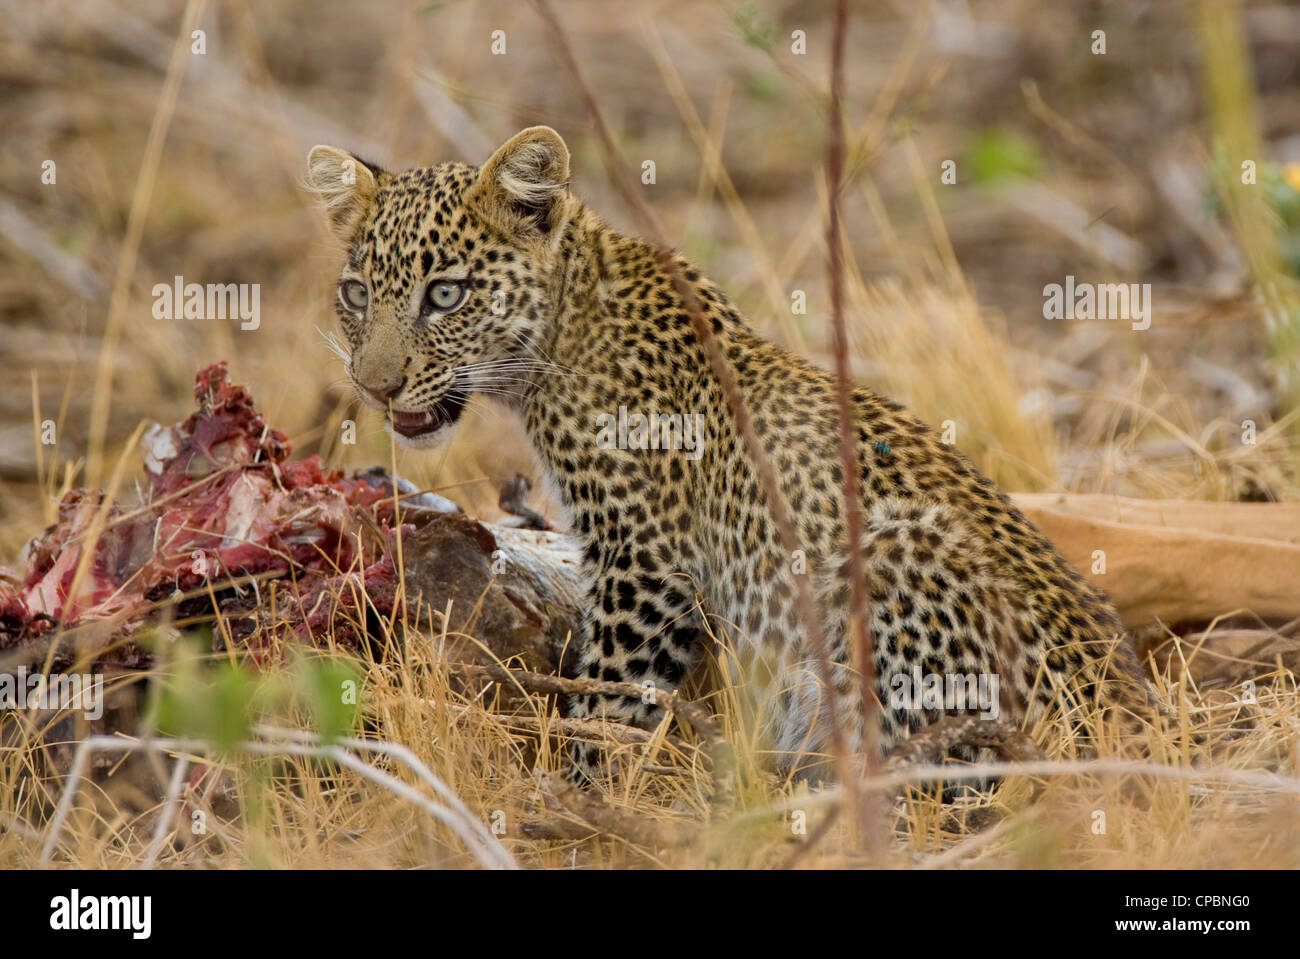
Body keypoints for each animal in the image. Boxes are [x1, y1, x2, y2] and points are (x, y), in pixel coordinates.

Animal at [305, 126, 1151, 784]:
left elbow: (606, 699)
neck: (562, 332)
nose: (373, 386)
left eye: (445, 295)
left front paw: (578, 791)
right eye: (356, 293)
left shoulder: (645, 564)